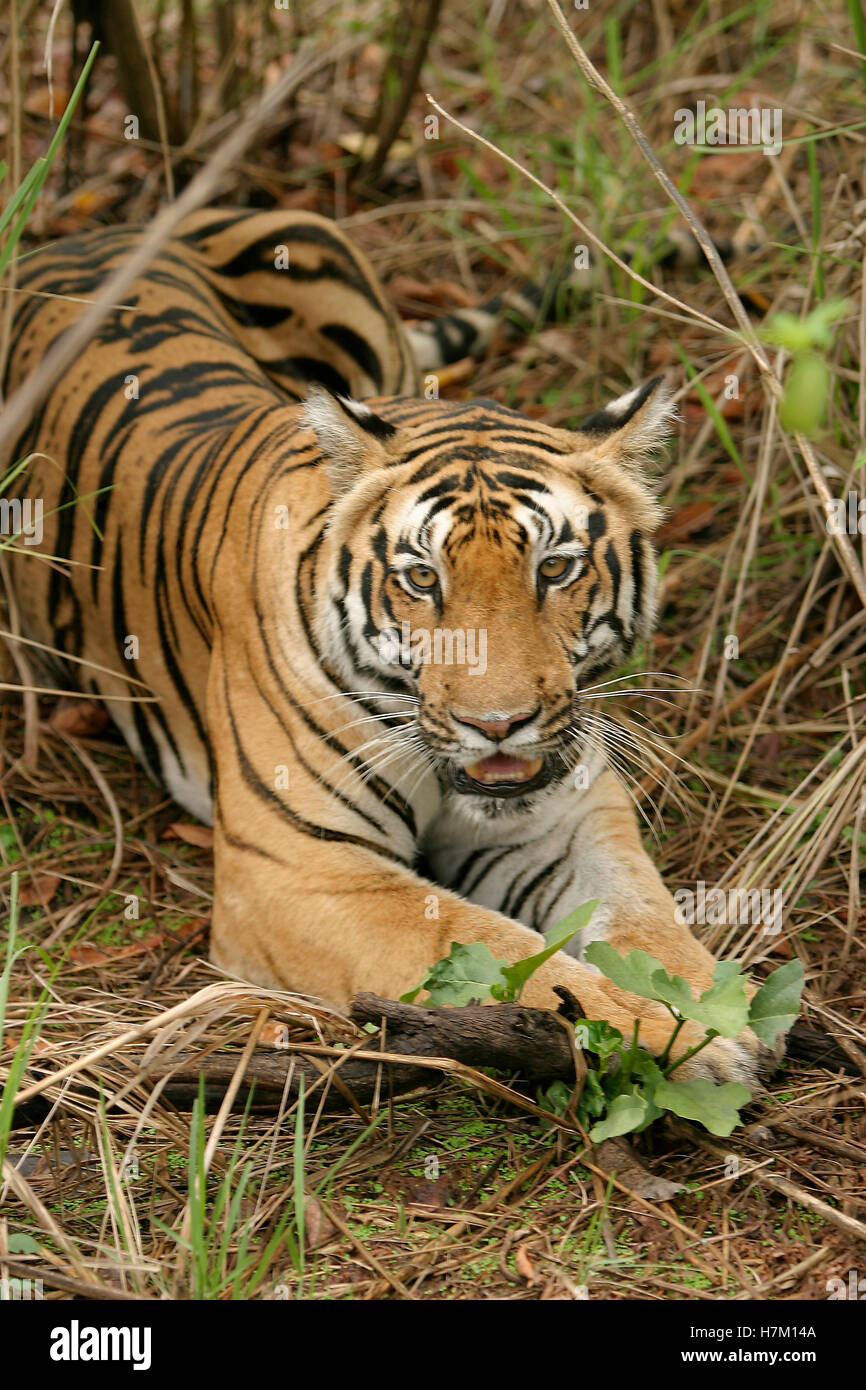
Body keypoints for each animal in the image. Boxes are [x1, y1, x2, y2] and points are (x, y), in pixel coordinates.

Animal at [3, 207, 765, 1083]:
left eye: (555, 566)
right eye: (422, 578)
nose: (497, 725)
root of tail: (103, 233)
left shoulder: (566, 820)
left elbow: (642, 912)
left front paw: (709, 1001)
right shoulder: (303, 873)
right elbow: (494, 951)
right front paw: (670, 1037)